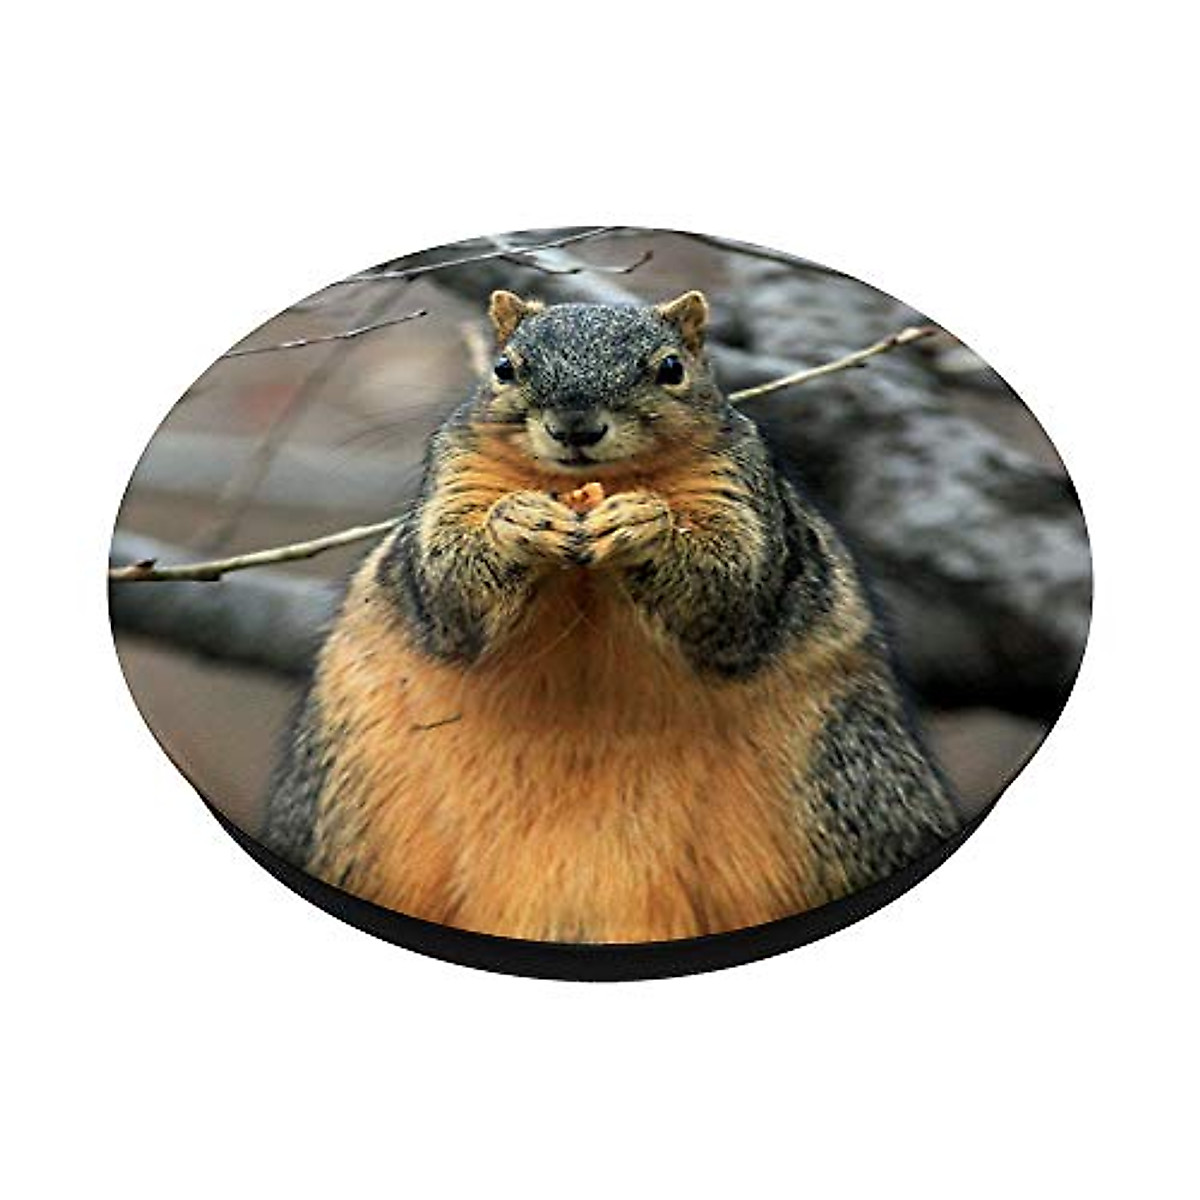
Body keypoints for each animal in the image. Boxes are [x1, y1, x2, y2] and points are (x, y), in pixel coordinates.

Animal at [262, 289, 961, 943]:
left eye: (672, 368)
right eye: (504, 367)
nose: (575, 427)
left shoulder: (742, 495)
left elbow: (736, 588)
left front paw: (645, 526)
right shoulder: (455, 482)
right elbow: (446, 587)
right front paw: (516, 523)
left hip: (851, 788)